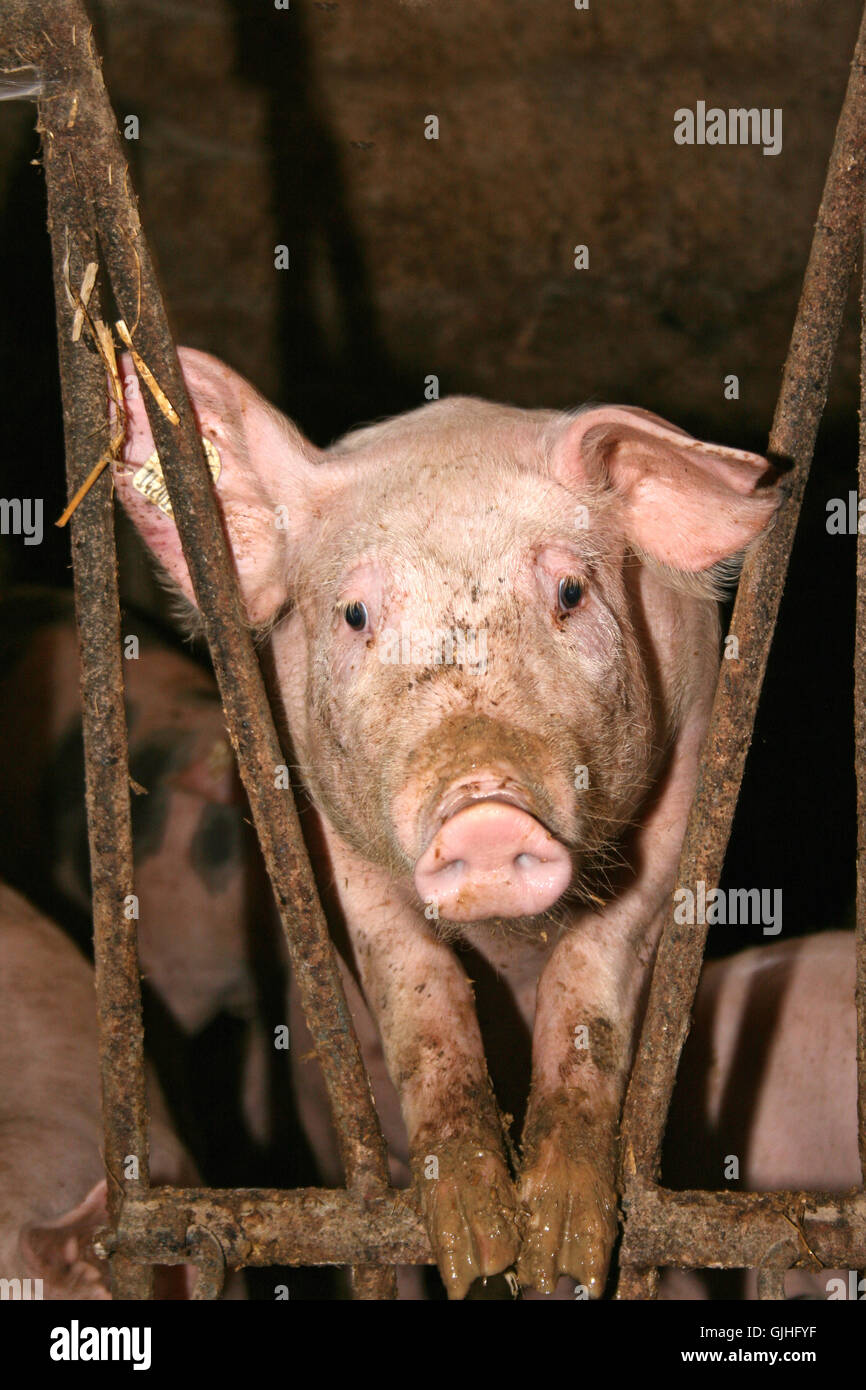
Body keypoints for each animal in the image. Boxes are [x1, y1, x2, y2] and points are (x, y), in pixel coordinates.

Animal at [113, 346, 780, 1298]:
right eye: (356, 614)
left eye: (571, 591)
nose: (486, 810)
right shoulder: (314, 818)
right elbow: (412, 976)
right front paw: (478, 1244)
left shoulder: (694, 758)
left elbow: (596, 961)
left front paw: (561, 1249)